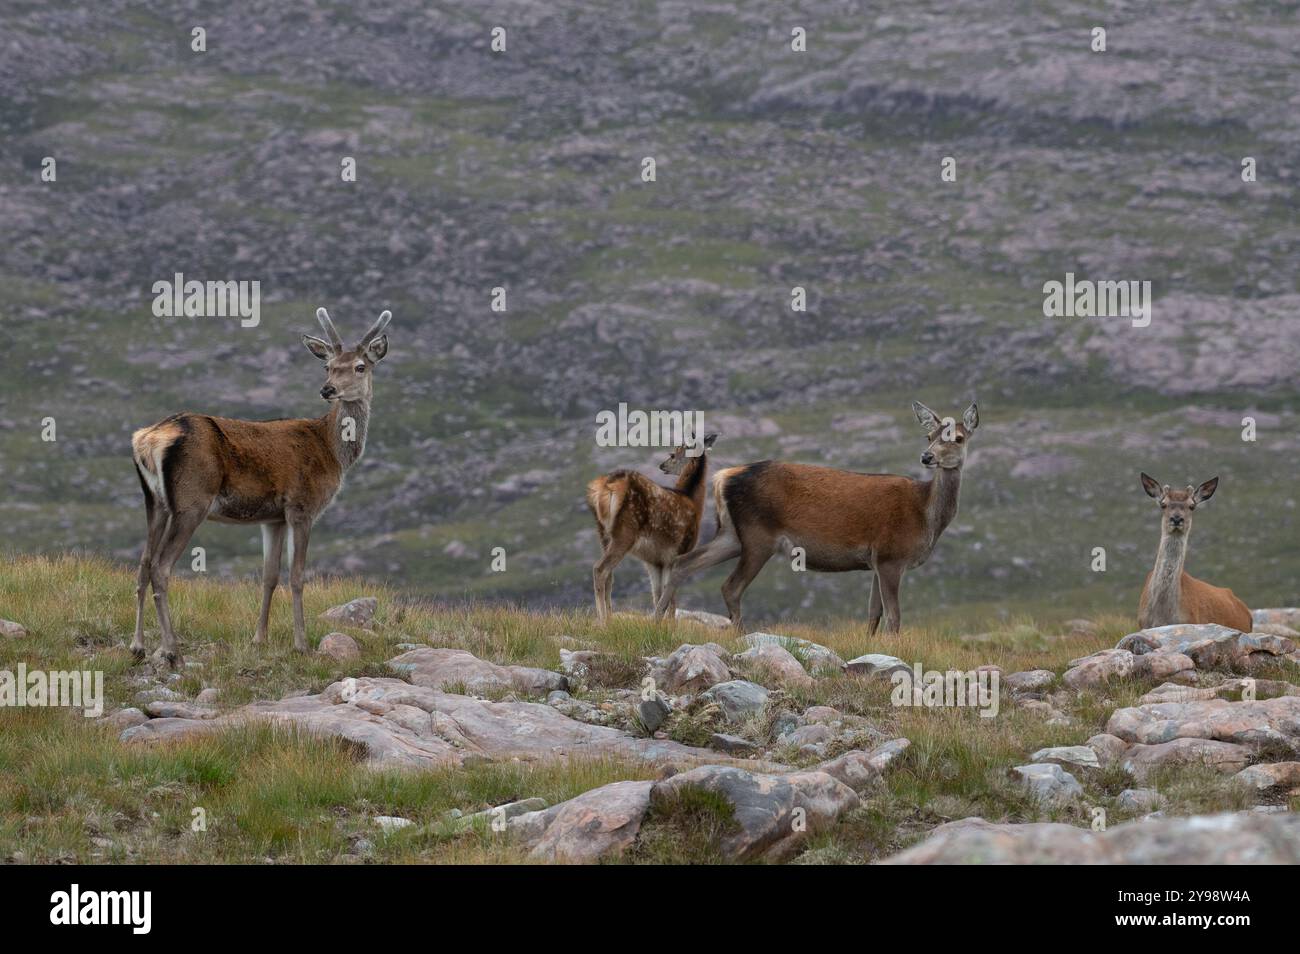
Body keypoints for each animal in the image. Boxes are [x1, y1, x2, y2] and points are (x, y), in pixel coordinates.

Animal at [129, 308, 391, 666]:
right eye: (328, 366)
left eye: (360, 366)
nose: (328, 389)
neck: (331, 452)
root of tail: (148, 438)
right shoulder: (301, 506)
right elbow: (297, 576)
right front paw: (301, 644)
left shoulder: (273, 518)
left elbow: (269, 576)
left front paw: (259, 639)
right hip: (191, 501)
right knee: (161, 566)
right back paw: (172, 651)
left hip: (154, 500)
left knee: (142, 562)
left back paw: (138, 645)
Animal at [586, 433, 719, 623]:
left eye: (673, 454)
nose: (662, 465)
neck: (693, 502)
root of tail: (608, 486)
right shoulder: (678, 552)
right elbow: (670, 594)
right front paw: (670, 624)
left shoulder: (654, 560)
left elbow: (657, 594)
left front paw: (658, 623)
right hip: (625, 531)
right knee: (600, 569)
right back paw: (603, 620)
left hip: (603, 533)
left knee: (609, 575)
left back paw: (609, 617)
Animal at [652, 402, 978, 634]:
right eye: (929, 436)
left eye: (958, 437)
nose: (927, 456)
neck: (925, 516)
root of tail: (723, 477)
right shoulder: (891, 556)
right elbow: (894, 617)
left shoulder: (877, 561)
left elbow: (874, 613)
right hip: (758, 535)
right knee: (730, 587)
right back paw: (740, 634)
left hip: (731, 534)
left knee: (683, 563)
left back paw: (657, 619)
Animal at [1137, 473, 1251, 632]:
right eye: (1163, 504)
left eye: (1192, 506)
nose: (1177, 519)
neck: (1162, 615)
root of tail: (1249, 615)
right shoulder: (1142, 625)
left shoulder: (1191, 621)